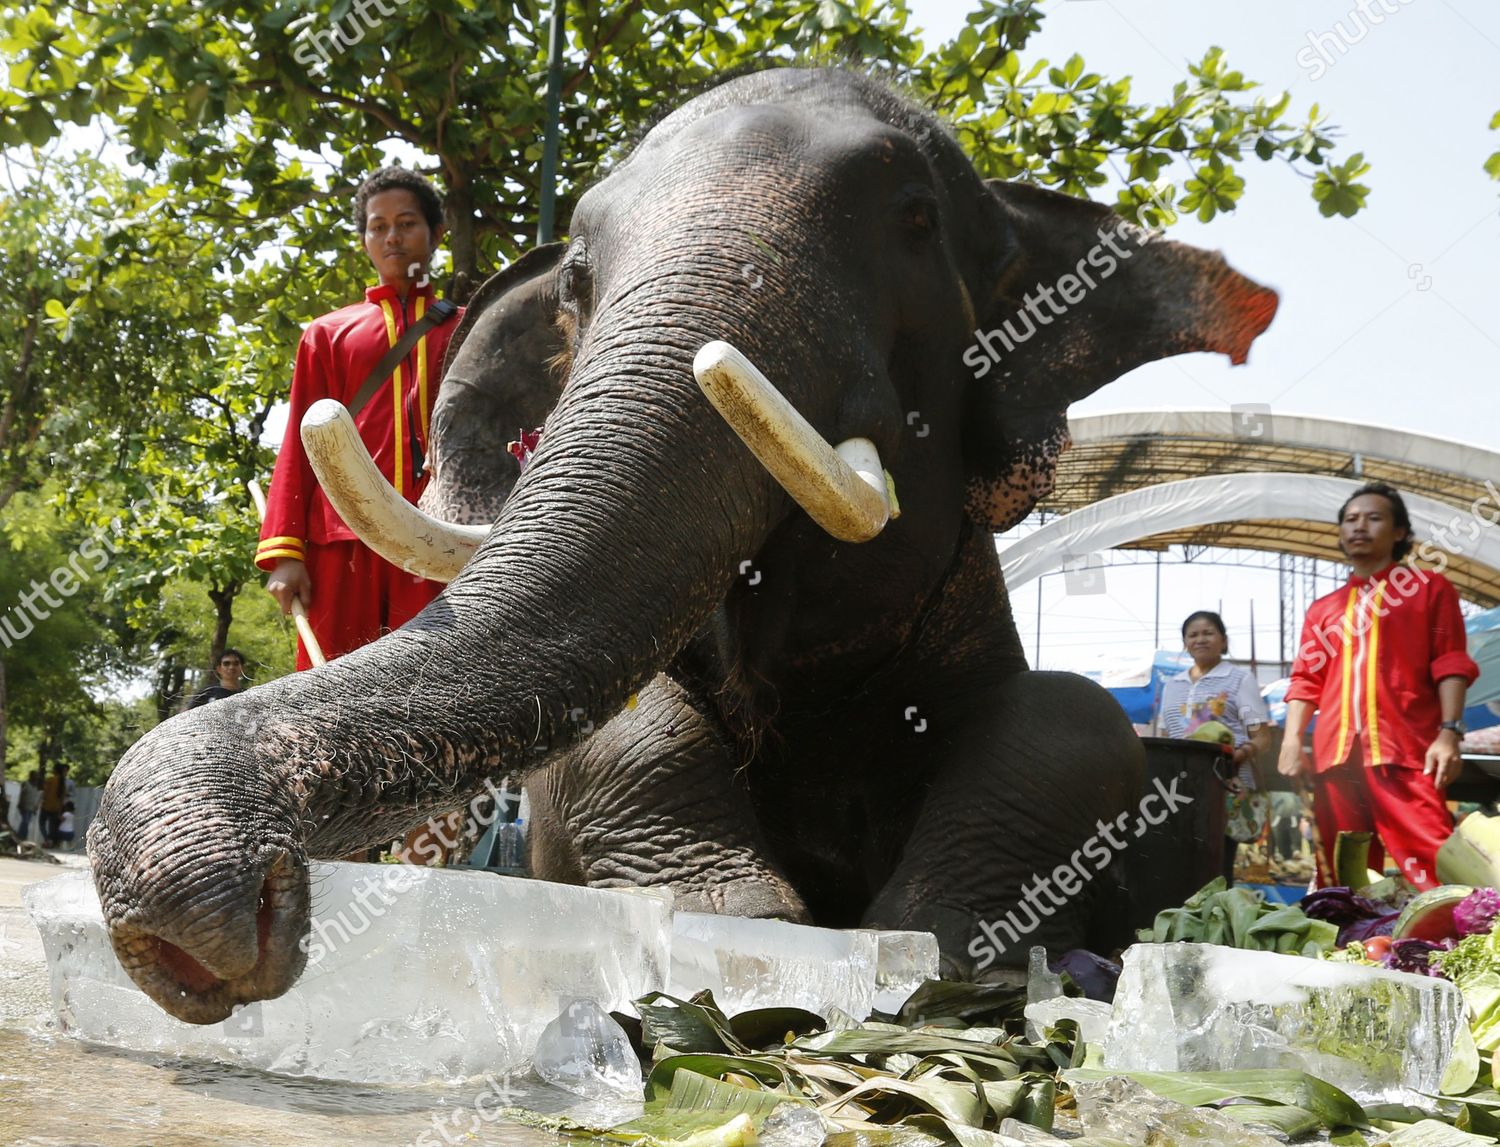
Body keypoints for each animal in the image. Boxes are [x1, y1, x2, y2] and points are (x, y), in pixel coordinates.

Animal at [90, 65, 1278, 1025]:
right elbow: (619, 729)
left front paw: (921, 940)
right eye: (576, 272)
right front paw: (740, 915)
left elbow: (1077, 720)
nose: (260, 909)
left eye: (913, 218)